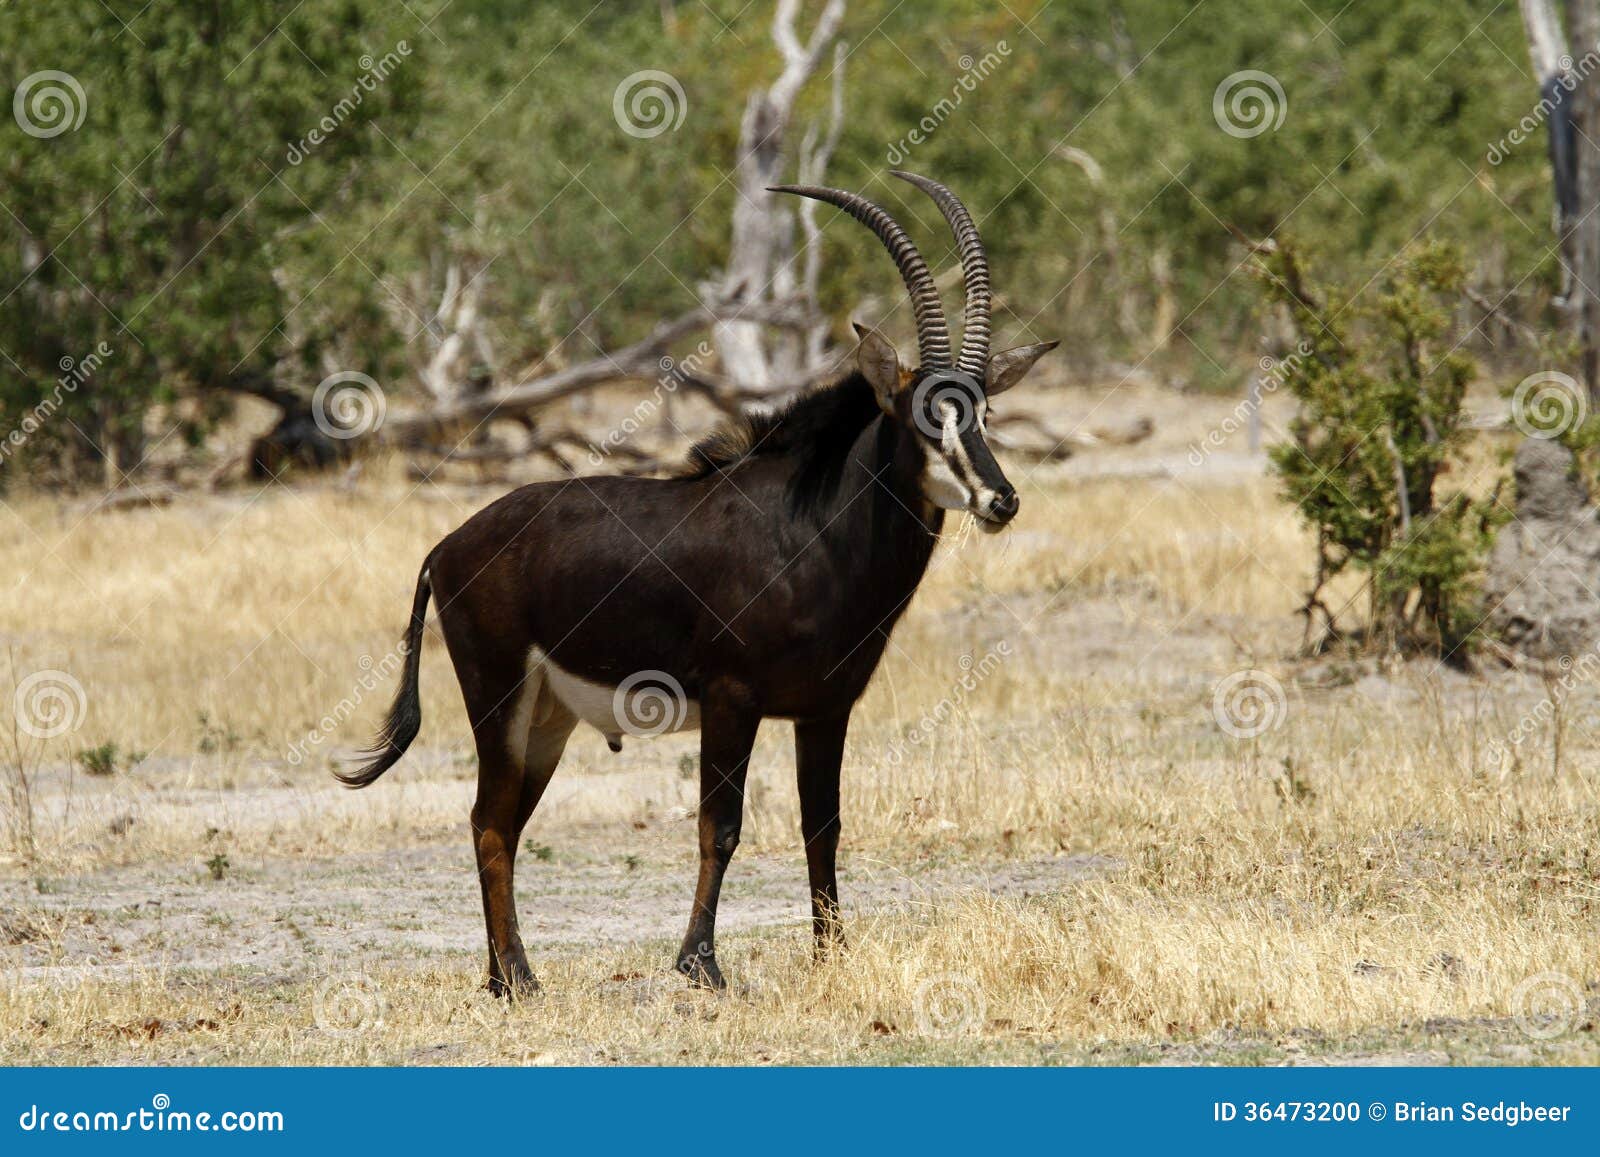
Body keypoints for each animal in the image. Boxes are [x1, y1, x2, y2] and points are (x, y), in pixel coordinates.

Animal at [340, 171, 1056, 994]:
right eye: (923, 415)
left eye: (983, 410)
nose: (1001, 500)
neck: (812, 529)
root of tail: (446, 547)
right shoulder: (731, 699)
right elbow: (723, 826)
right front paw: (700, 963)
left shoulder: (826, 710)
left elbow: (823, 825)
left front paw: (831, 954)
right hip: (498, 697)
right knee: (488, 821)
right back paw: (519, 979)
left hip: (547, 718)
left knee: (507, 824)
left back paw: (499, 976)